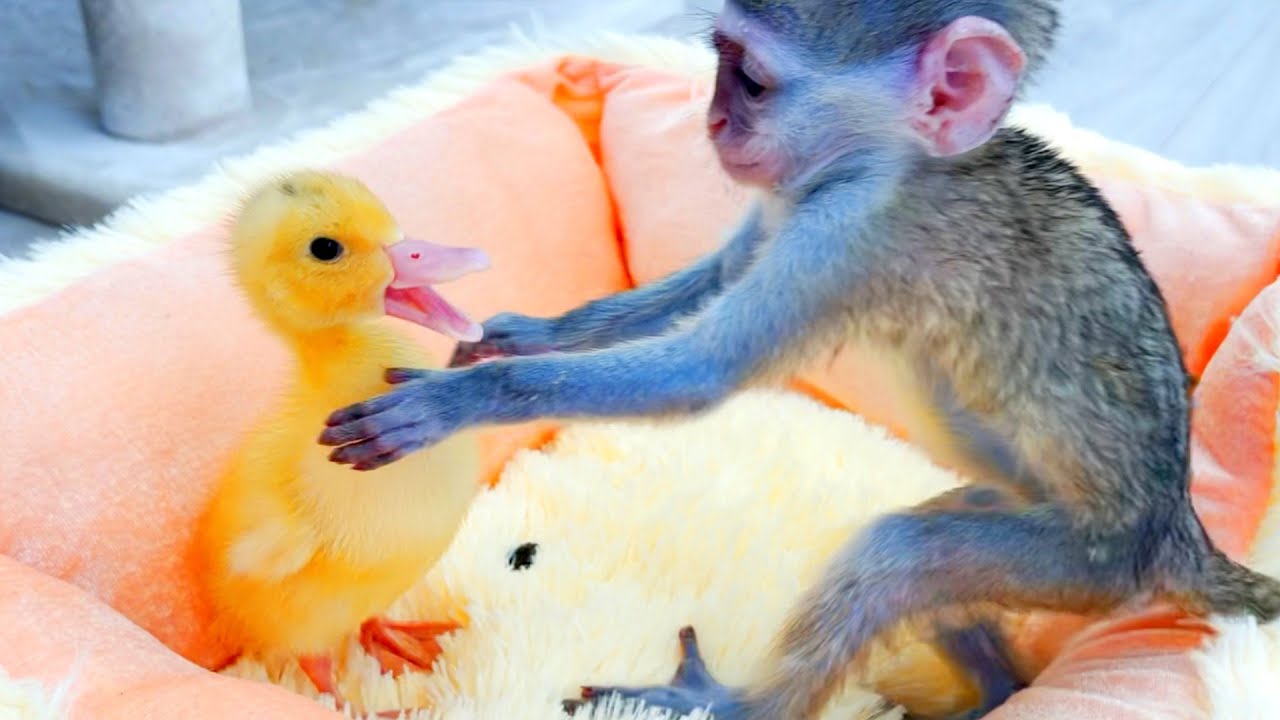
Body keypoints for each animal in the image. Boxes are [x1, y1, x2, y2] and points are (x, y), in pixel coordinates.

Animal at [317, 0, 1280, 717]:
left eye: (747, 75)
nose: (711, 119)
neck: (891, 161)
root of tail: (1174, 529)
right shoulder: (793, 205)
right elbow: (706, 285)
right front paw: (524, 333)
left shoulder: (846, 234)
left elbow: (698, 370)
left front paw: (459, 399)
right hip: (1033, 527)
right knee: (933, 549)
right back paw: (995, 690)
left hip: (1085, 561)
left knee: (900, 552)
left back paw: (730, 706)